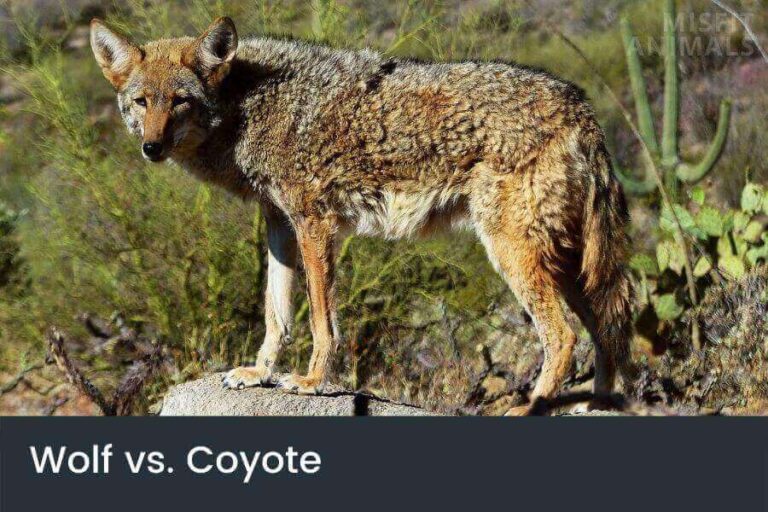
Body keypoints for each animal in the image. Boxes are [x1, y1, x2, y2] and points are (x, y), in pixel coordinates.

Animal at [90, 16, 637, 414]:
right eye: (141, 102)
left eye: (180, 101)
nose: (151, 147)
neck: (248, 106)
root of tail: (582, 108)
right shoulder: (280, 225)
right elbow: (275, 312)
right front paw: (260, 373)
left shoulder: (315, 224)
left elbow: (321, 320)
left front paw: (312, 380)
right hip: (565, 264)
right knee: (607, 327)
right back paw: (597, 406)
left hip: (516, 255)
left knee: (564, 336)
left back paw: (533, 409)